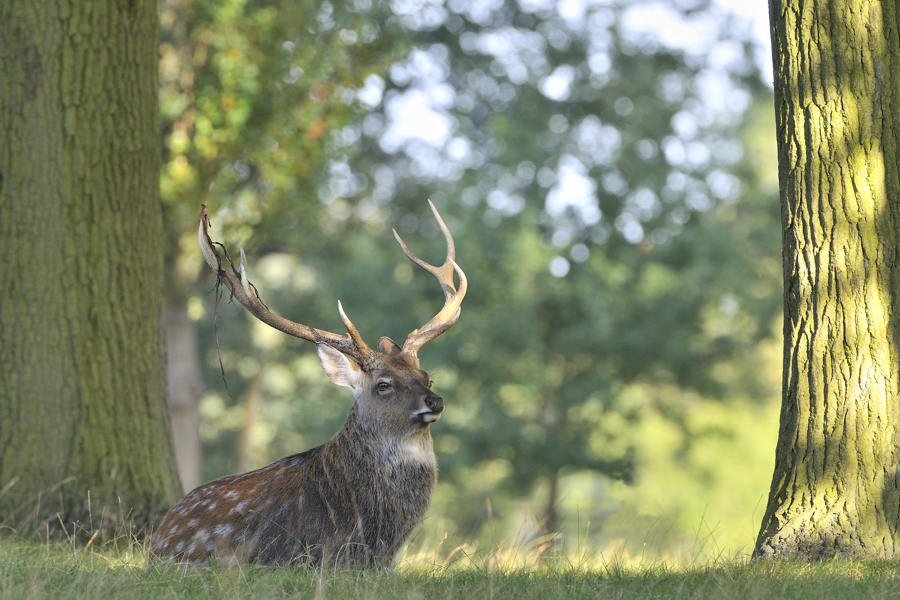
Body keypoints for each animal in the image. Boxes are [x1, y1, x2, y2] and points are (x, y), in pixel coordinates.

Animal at [149, 202, 466, 570]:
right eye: (384, 385)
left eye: (427, 377)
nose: (435, 401)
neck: (374, 537)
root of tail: (155, 538)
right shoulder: (309, 559)